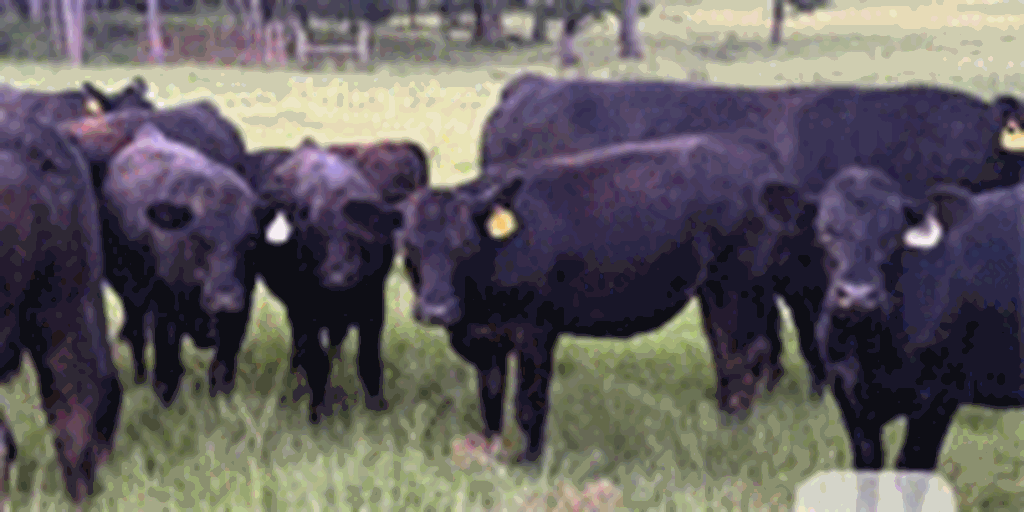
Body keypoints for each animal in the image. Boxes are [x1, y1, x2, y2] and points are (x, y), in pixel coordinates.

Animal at [57, 102, 258, 399]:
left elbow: (222, 371)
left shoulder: (239, 317)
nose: (225, 299)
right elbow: (167, 372)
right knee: (137, 337)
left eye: (250, 240)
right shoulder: (164, 314)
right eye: (198, 236)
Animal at [252, 141, 410, 423]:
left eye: (358, 234)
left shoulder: (374, 307)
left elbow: (369, 362)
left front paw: (377, 409)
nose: (338, 278)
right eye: (313, 235)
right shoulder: (304, 312)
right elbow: (317, 362)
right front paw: (318, 413)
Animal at [381, 133, 806, 462]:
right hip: (716, 292)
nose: (436, 310)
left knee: (745, 354)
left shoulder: (535, 328)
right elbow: (490, 400)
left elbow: (529, 401)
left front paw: (530, 462)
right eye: (408, 247)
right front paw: (490, 453)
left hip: (738, 284)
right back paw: (723, 422)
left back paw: (733, 428)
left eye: (465, 245)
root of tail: (756, 158)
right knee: (726, 351)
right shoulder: (484, 337)